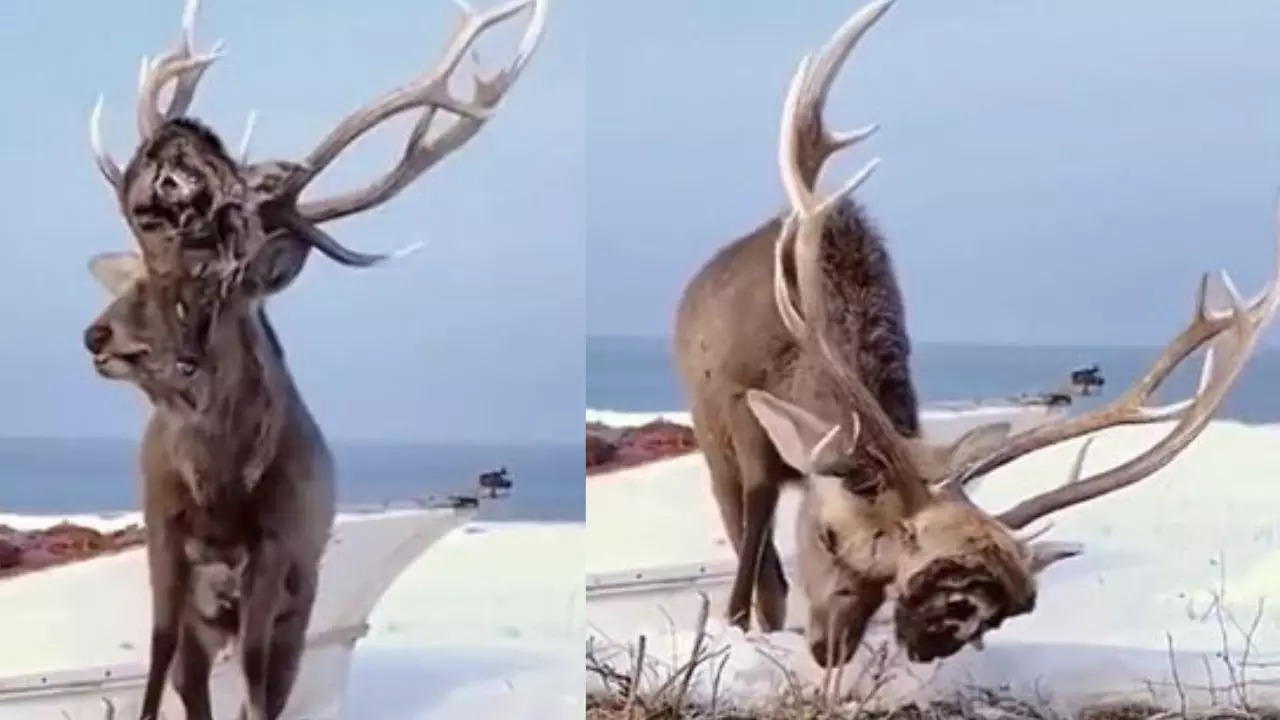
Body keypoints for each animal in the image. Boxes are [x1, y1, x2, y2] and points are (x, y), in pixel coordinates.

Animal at [674, 0, 1280, 669]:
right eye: (828, 536)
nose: (830, 648)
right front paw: (734, 624)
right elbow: (756, 522)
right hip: (708, 425)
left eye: (890, 581)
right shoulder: (738, 411)